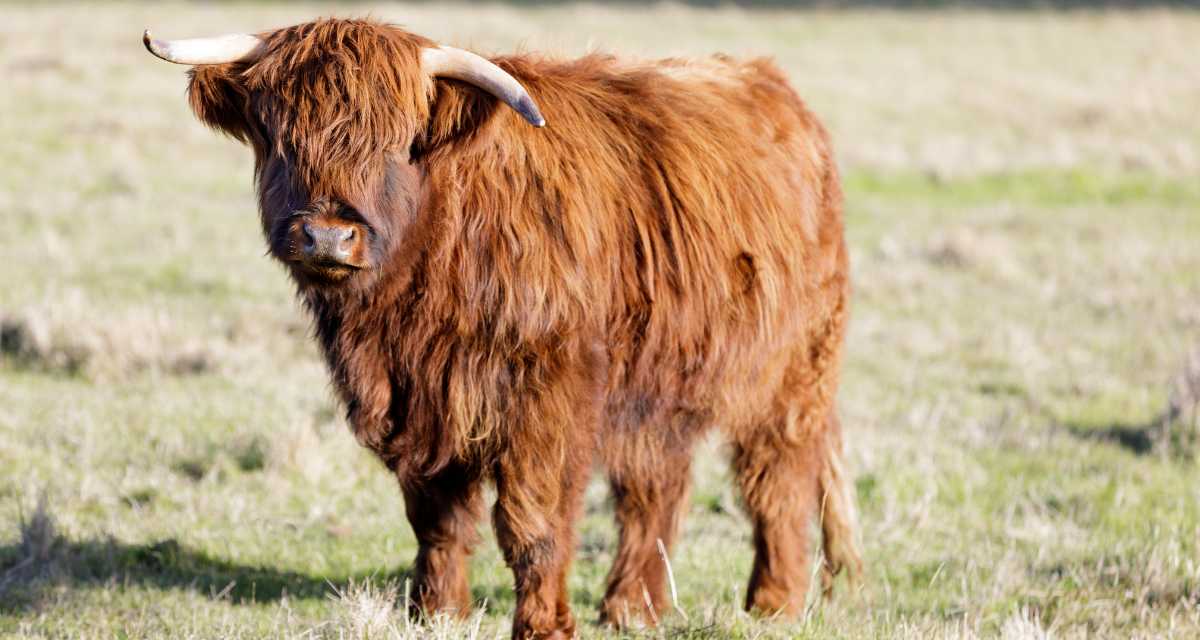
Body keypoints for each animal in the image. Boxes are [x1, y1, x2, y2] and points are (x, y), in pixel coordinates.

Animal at [144, 17, 860, 639]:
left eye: (398, 141)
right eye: (278, 135)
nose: (326, 235)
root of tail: (773, 87)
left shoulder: (549, 398)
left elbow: (533, 523)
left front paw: (543, 626)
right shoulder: (419, 404)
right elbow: (436, 519)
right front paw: (435, 613)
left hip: (792, 371)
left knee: (778, 476)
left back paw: (773, 601)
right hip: (660, 385)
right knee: (656, 487)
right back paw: (632, 607)